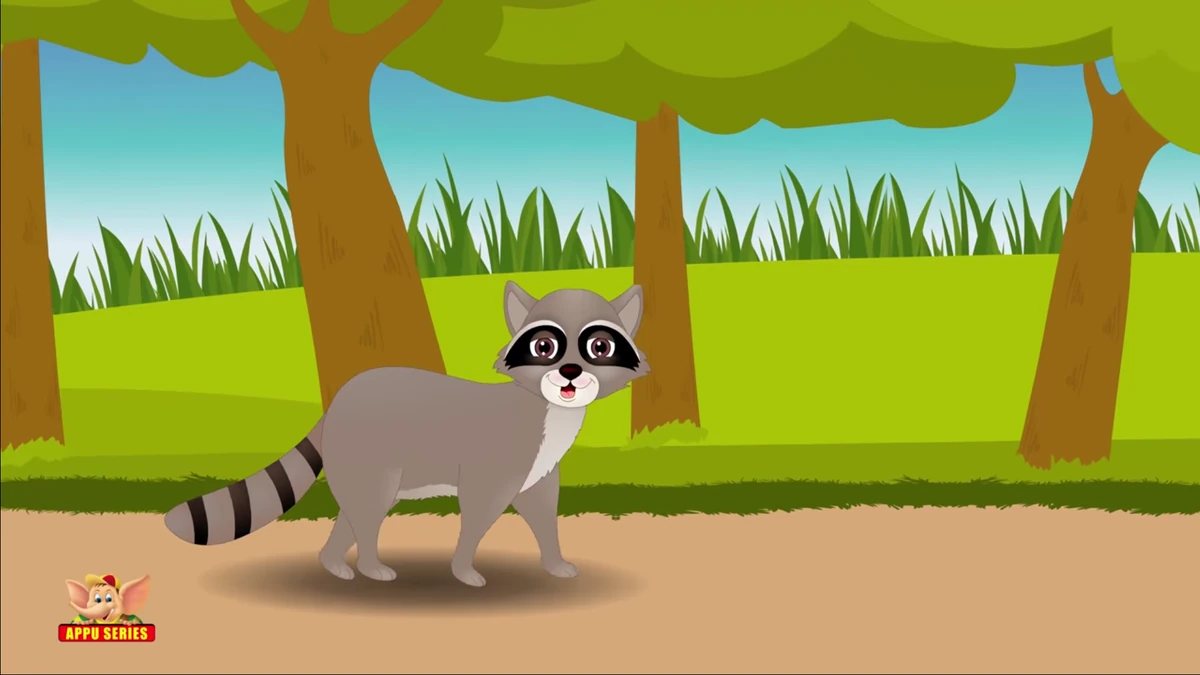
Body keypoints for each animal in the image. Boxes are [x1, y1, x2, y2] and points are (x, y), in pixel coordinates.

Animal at [164, 282, 649, 587]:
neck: (551, 412)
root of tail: (337, 403)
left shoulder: (539, 467)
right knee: (368, 513)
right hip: (370, 458)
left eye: (600, 347)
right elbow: (479, 513)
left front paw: (553, 560)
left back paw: (335, 562)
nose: (570, 373)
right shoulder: (497, 461)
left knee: (354, 515)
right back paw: (370, 564)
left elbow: (543, 512)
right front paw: (463, 568)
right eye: (544, 346)